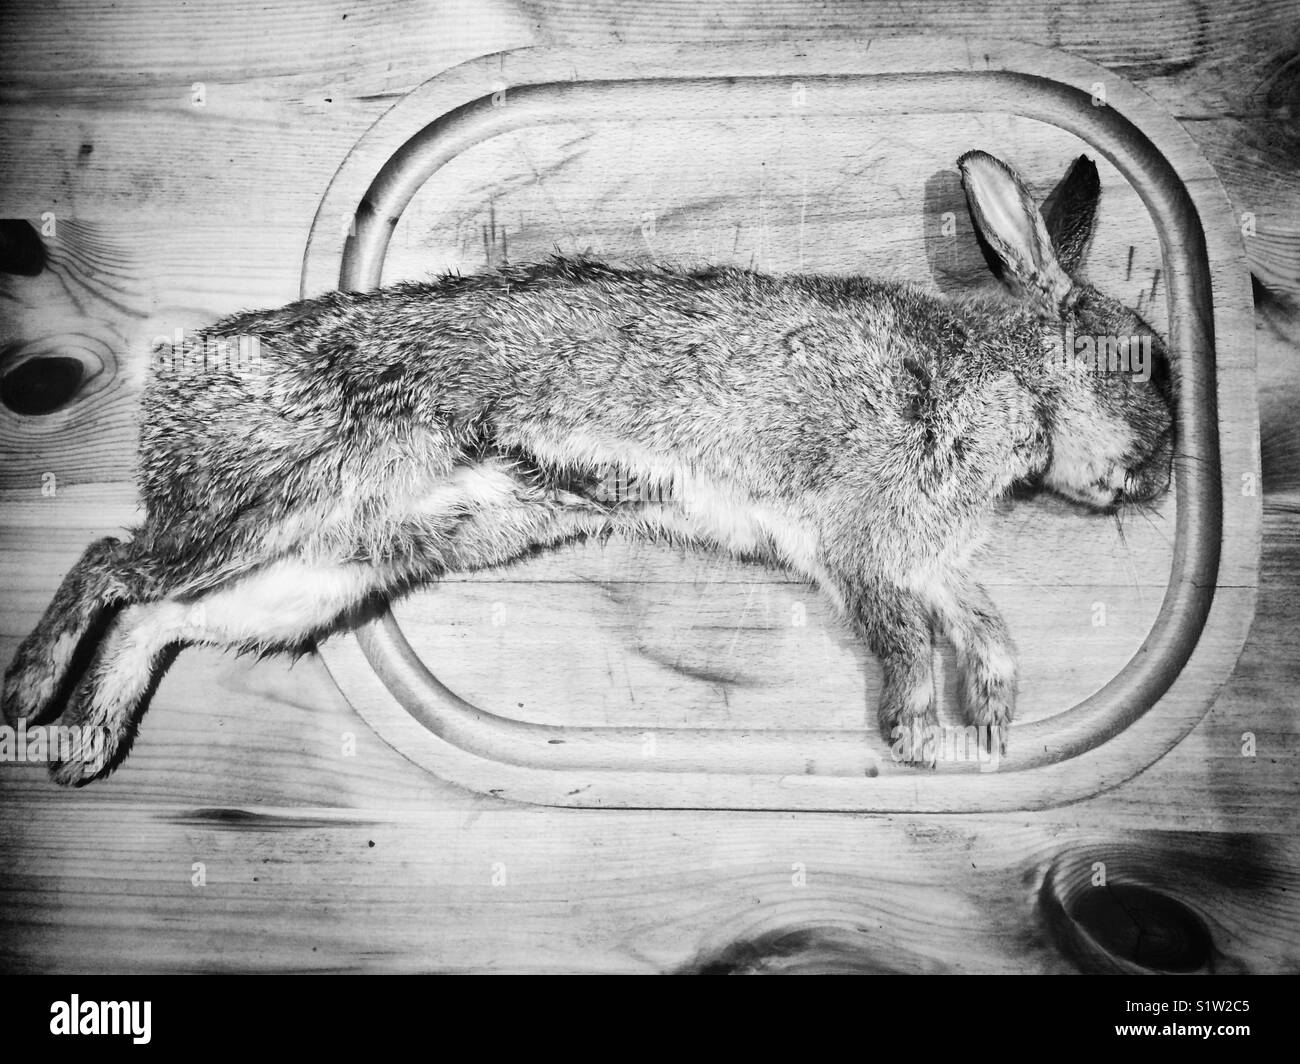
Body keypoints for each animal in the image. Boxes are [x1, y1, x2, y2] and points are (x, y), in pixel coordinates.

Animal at [2, 149, 1174, 785]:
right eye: (1154, 362)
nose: (1163, 477)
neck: (1010, 384)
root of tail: (176, 379)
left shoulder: (932, 563)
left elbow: (984, 626)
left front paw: (993, 715)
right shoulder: (866, 554)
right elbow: (903, 652)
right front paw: (931, 743)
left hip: (327, 570)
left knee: (156, 616)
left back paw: (84, 742)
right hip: (270, 504)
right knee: (111, 561)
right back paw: (27, 697)